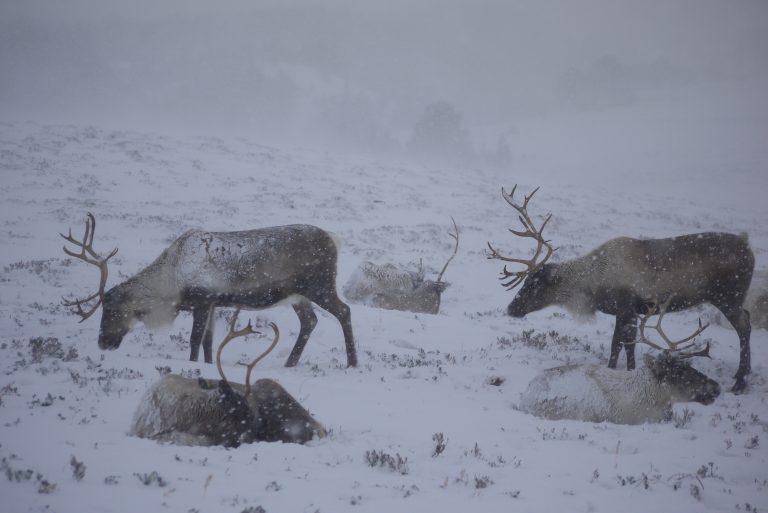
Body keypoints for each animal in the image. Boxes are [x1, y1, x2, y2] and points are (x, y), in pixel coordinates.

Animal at [60, 213, 356, 367]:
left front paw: (193, 367)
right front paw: (208, 365)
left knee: (344, 310)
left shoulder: (202, 300)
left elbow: (194, 340)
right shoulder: (213, 304)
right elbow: (208, 342)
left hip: (318, 286)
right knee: (310, 321)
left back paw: (352, 362)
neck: (172, 281)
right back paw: (289, 364)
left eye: (111, 309)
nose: (103, 343)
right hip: (297, 295)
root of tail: (335, 239)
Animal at [487, 185, 754, 393]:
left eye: (534, 285)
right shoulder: (624, 312)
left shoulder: (628, 309)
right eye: (525, 282)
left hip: (727, 296)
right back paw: (744, 372)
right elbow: (618, 344)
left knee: (743, 326)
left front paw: (628, 371)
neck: (593, 286)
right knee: (748, 319)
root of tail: (748, 245)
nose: (511, 309)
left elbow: (625, 346)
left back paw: (740, 382)